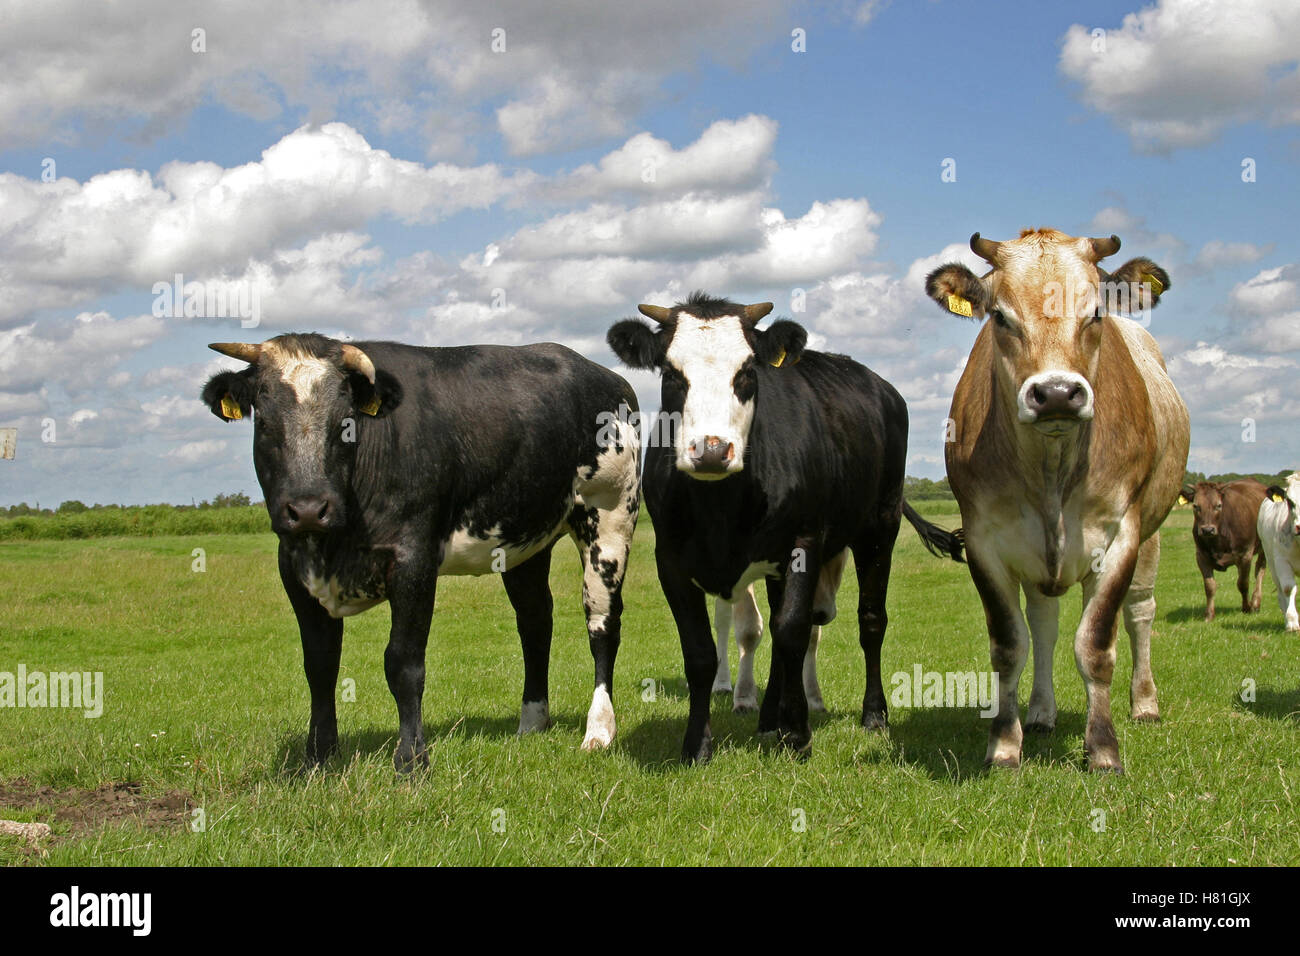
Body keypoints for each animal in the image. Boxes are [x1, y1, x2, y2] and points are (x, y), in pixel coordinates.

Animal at [201, 333, 640, 771]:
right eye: (264, 419)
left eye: (345, 421)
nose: (308, 509)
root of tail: (604, 376)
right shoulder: (294, 570)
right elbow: (320, 666)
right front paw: (319, 757)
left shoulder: (413, 561)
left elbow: (403, 664)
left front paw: (411, 759)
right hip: (525, 538)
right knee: (534, 621)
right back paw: (532, 722)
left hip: (609, 517)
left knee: (602, 623)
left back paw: (599, 729)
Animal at [712, 550, 847, 712]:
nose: (818, 613)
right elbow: (749, 630)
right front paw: (745, 699)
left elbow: (812, 637)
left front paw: (814, 699)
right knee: (722, 621)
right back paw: (720, 683)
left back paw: (722, 682)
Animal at [926, 228, 1190, 773]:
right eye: (1000, 317)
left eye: (1096, 314)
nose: (1056, 395)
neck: (1050, 467)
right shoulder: (984, 541)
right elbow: (1011, 645)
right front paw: (1005, 745)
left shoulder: (1120, 536)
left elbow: (1096, 645)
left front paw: (1103, 749)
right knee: (1044, 625)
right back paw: (1042, 714)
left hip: (1151, 534)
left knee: (1141, 612)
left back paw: (1145, 703)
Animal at [1178, 479, 1268, 621]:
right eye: (1195, 506)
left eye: (1219, 505)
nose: (1207, 530)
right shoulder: (1201, 556)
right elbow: (1209, 586)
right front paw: (1209, 615)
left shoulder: (1245, 554)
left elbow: (1243, 584)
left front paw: (1246, 608)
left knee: (1260, 569)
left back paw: (1255, 602)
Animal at [1257, 473, 1300, 632]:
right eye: (1290, 501)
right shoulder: (1281, 562)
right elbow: (1288, 589)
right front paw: (1292, 622)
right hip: (1271, 563)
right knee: (1281, 594)